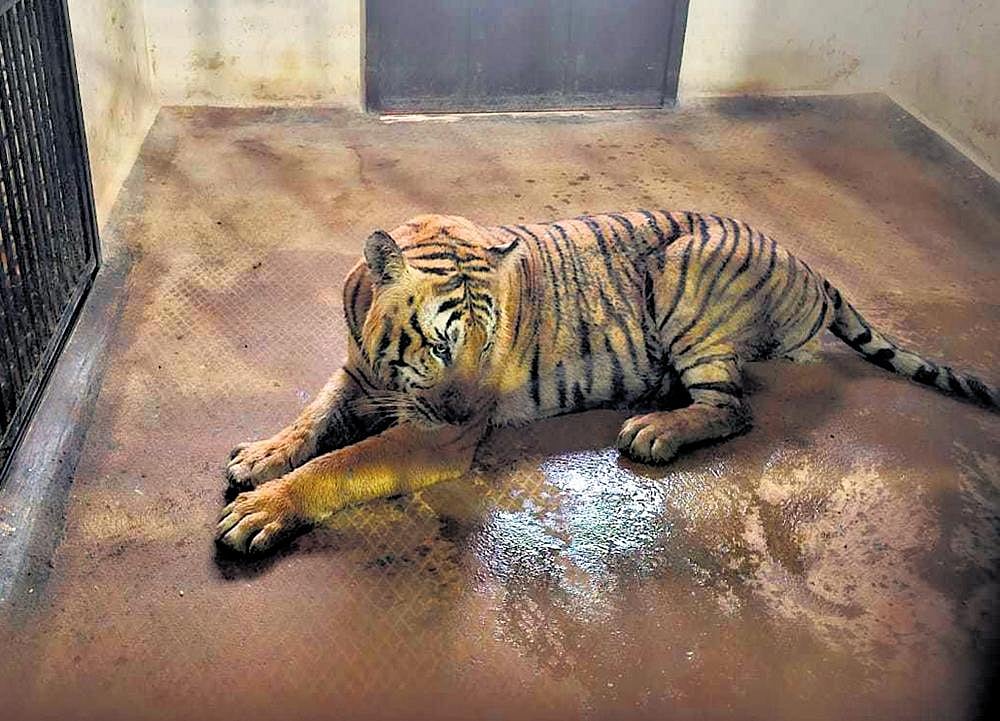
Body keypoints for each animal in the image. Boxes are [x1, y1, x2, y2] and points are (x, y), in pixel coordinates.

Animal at [216, 210, 998, 554]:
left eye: (486, 342)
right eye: (440, 345)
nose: (468, 410)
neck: (386, 370)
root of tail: (808, 265)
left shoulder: (435, 438)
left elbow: (344, 462)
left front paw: (261, 509)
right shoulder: (355, 370)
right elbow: (314, 420)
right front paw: (261, 456)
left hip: (685, 276)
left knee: (734, 408)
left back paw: (655, 428)